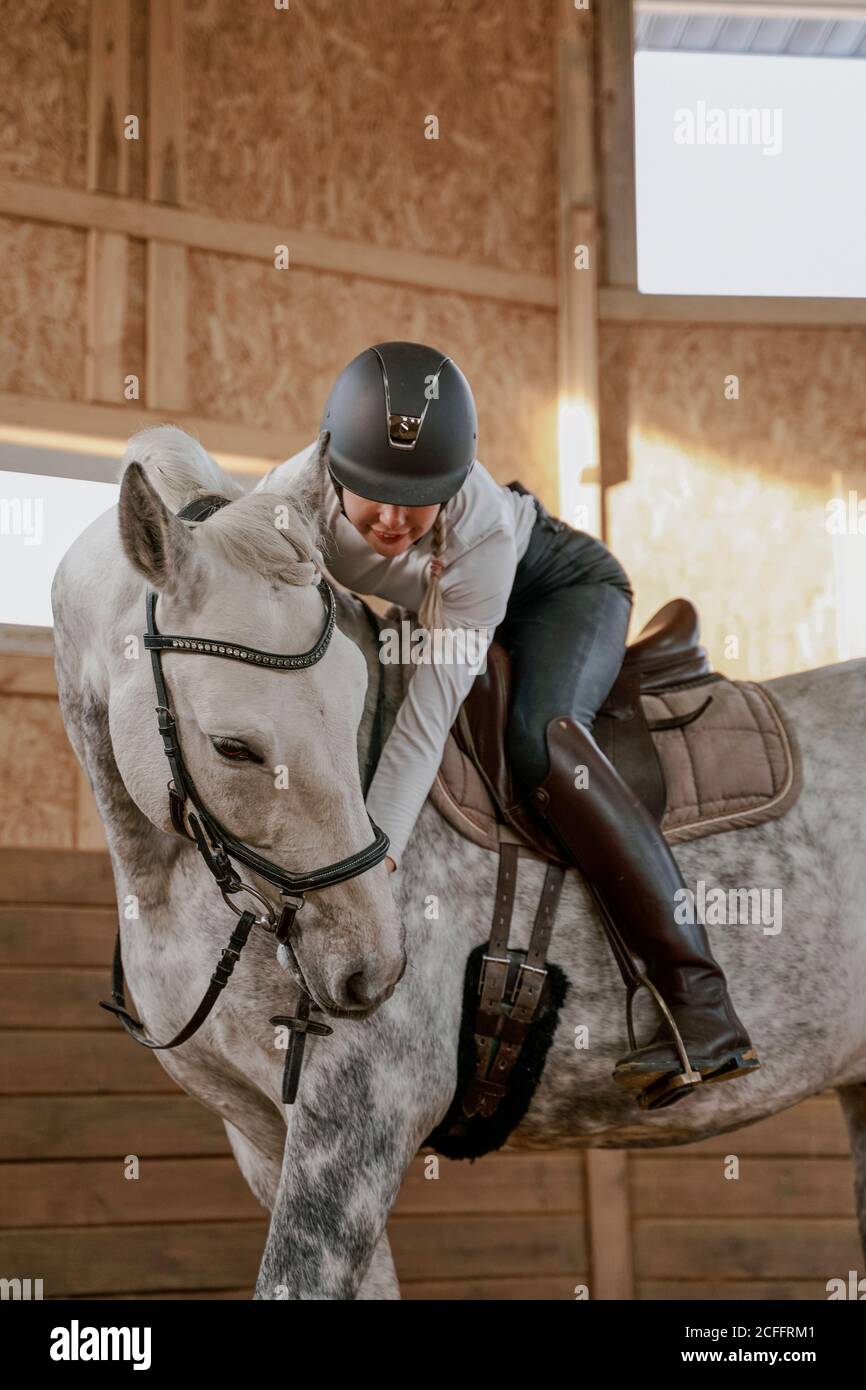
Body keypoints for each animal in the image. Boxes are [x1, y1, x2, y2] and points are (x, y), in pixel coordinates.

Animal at [51, 427, 866, 1299]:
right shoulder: (266, 1139)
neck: (173, 883)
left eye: (353, 706)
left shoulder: (358, 1125)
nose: (371, 970)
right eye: (234, 747)